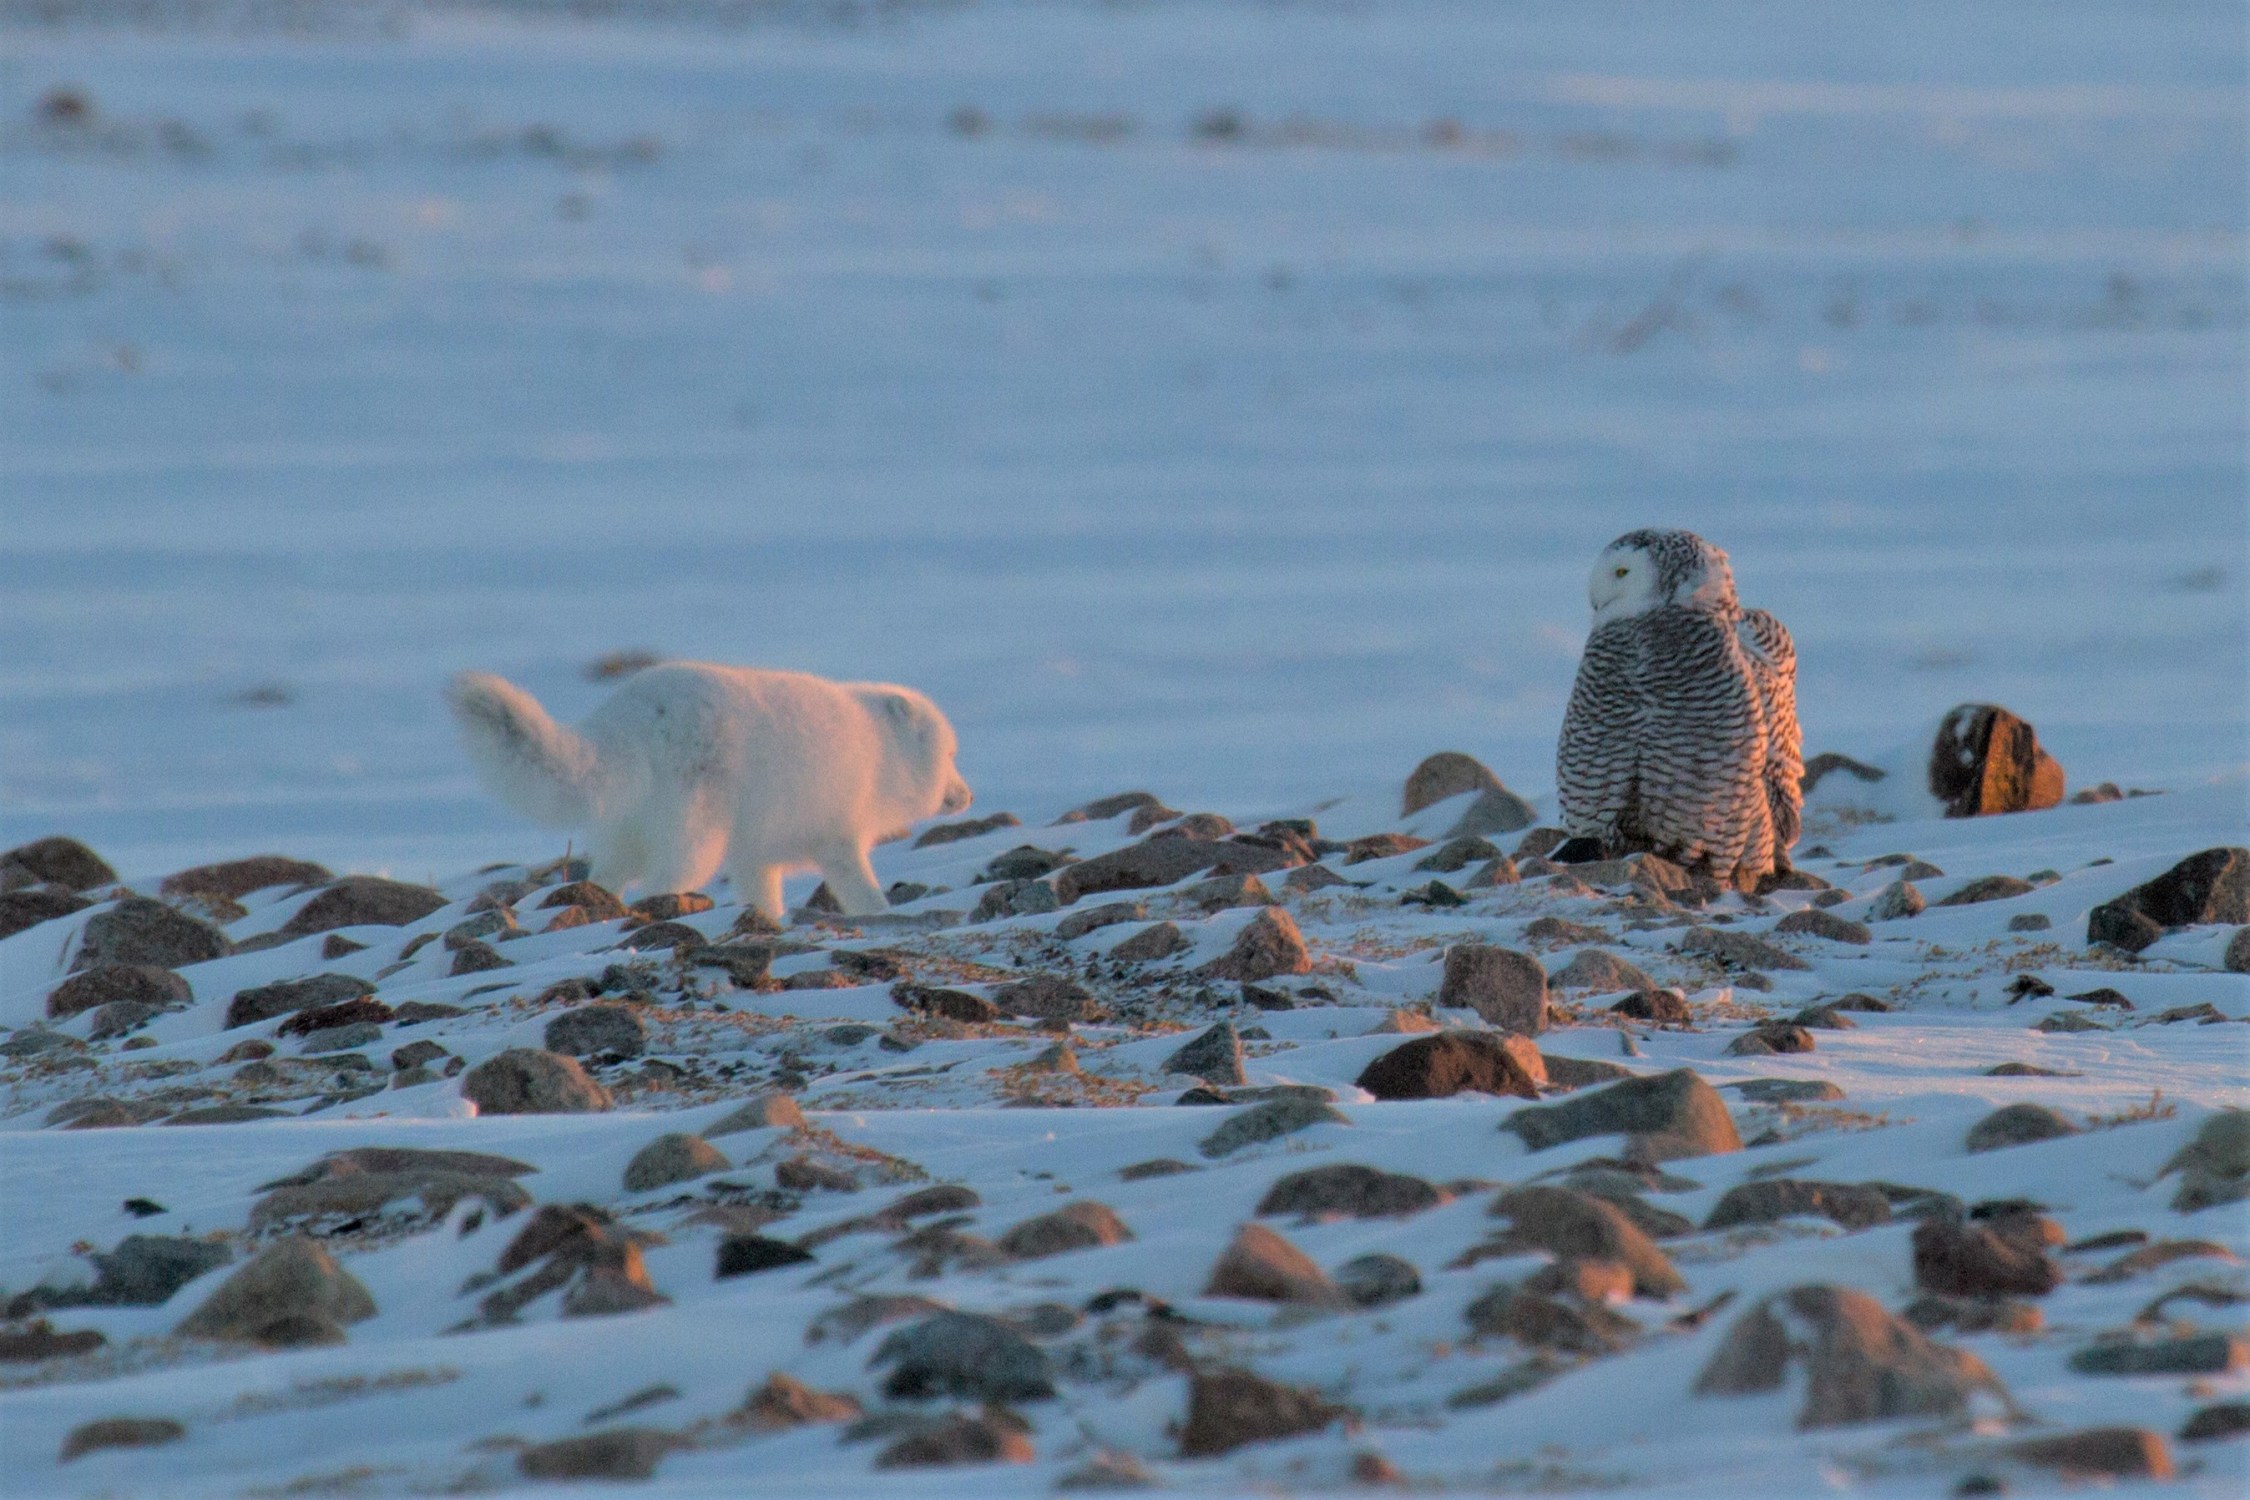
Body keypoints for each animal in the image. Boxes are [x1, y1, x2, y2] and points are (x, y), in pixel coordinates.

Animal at [446, 661, 971, 921]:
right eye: (949, 755)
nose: (967, 797)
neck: (879, 751)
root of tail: (630, 713)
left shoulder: (758, 854)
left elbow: (763, 894)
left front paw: (770, 923)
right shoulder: (838, 841)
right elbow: (861, 890)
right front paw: (881, 914)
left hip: (626, 834)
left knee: (608, 879)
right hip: (696, 840)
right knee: (659, 884)